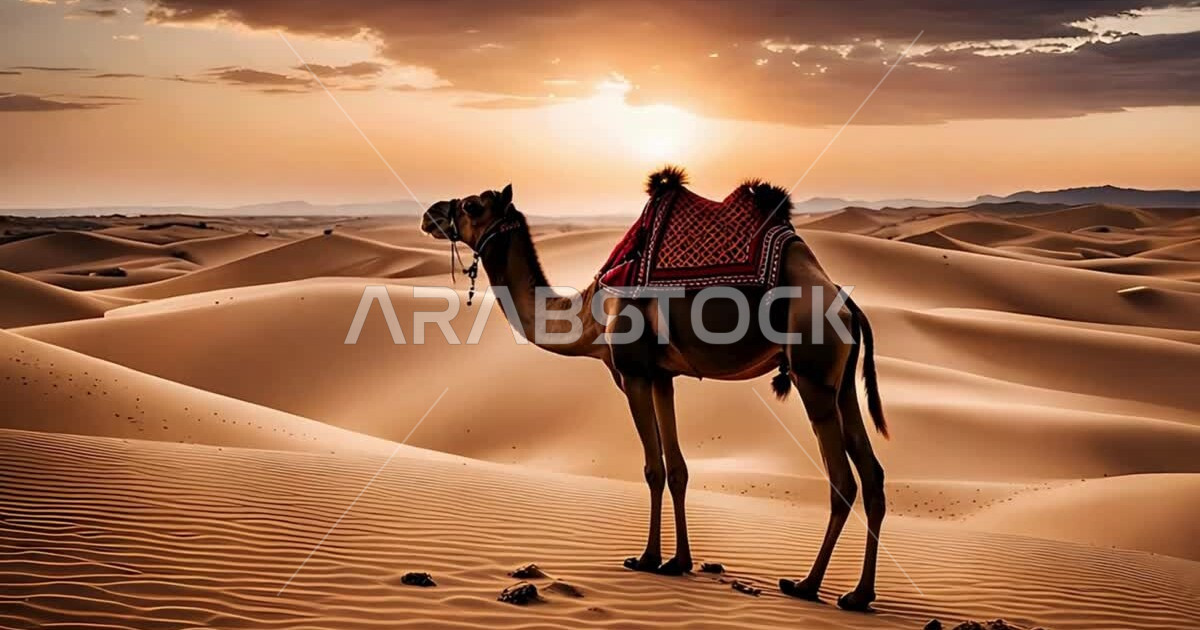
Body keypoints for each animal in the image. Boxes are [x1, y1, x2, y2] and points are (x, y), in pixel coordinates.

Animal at [420, 177, 889, 611]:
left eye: (472, 205)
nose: (430, 213)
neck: (588, 314)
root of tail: (848, 305)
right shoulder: (662, 376)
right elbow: (678, 468)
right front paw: (678, 561)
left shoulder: (633, 374)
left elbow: (652, 469)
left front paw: (645, 558)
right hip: (841, 387)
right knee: (873, 475)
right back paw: (858, 594)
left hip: (813, 376)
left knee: (843, 480)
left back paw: (806, 585)